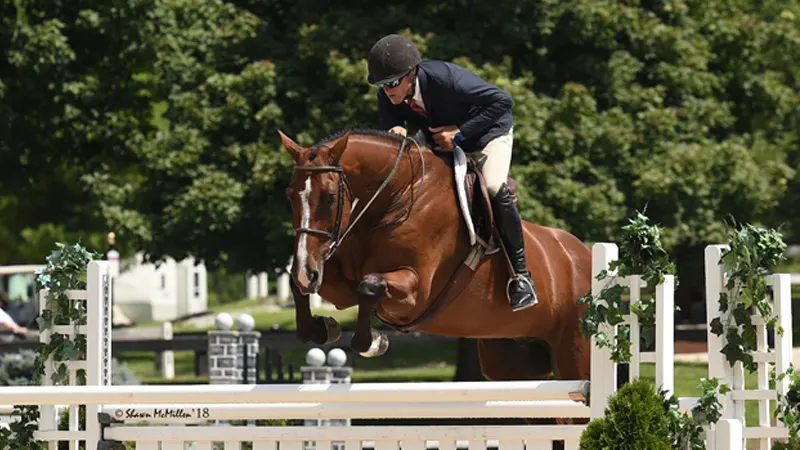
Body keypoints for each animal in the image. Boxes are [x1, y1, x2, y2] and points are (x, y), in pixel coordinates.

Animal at [279, 127, 592, 413]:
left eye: (330, 197)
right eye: (290, 195)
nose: (307, 271)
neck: (397, 194)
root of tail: (586, 255)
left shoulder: (416, 293)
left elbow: (369, 286)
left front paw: (374, 342)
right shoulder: (342, 285)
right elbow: (311, 289)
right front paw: (323, 328)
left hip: (575, 356)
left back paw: (523, 289)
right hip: (512, 366)